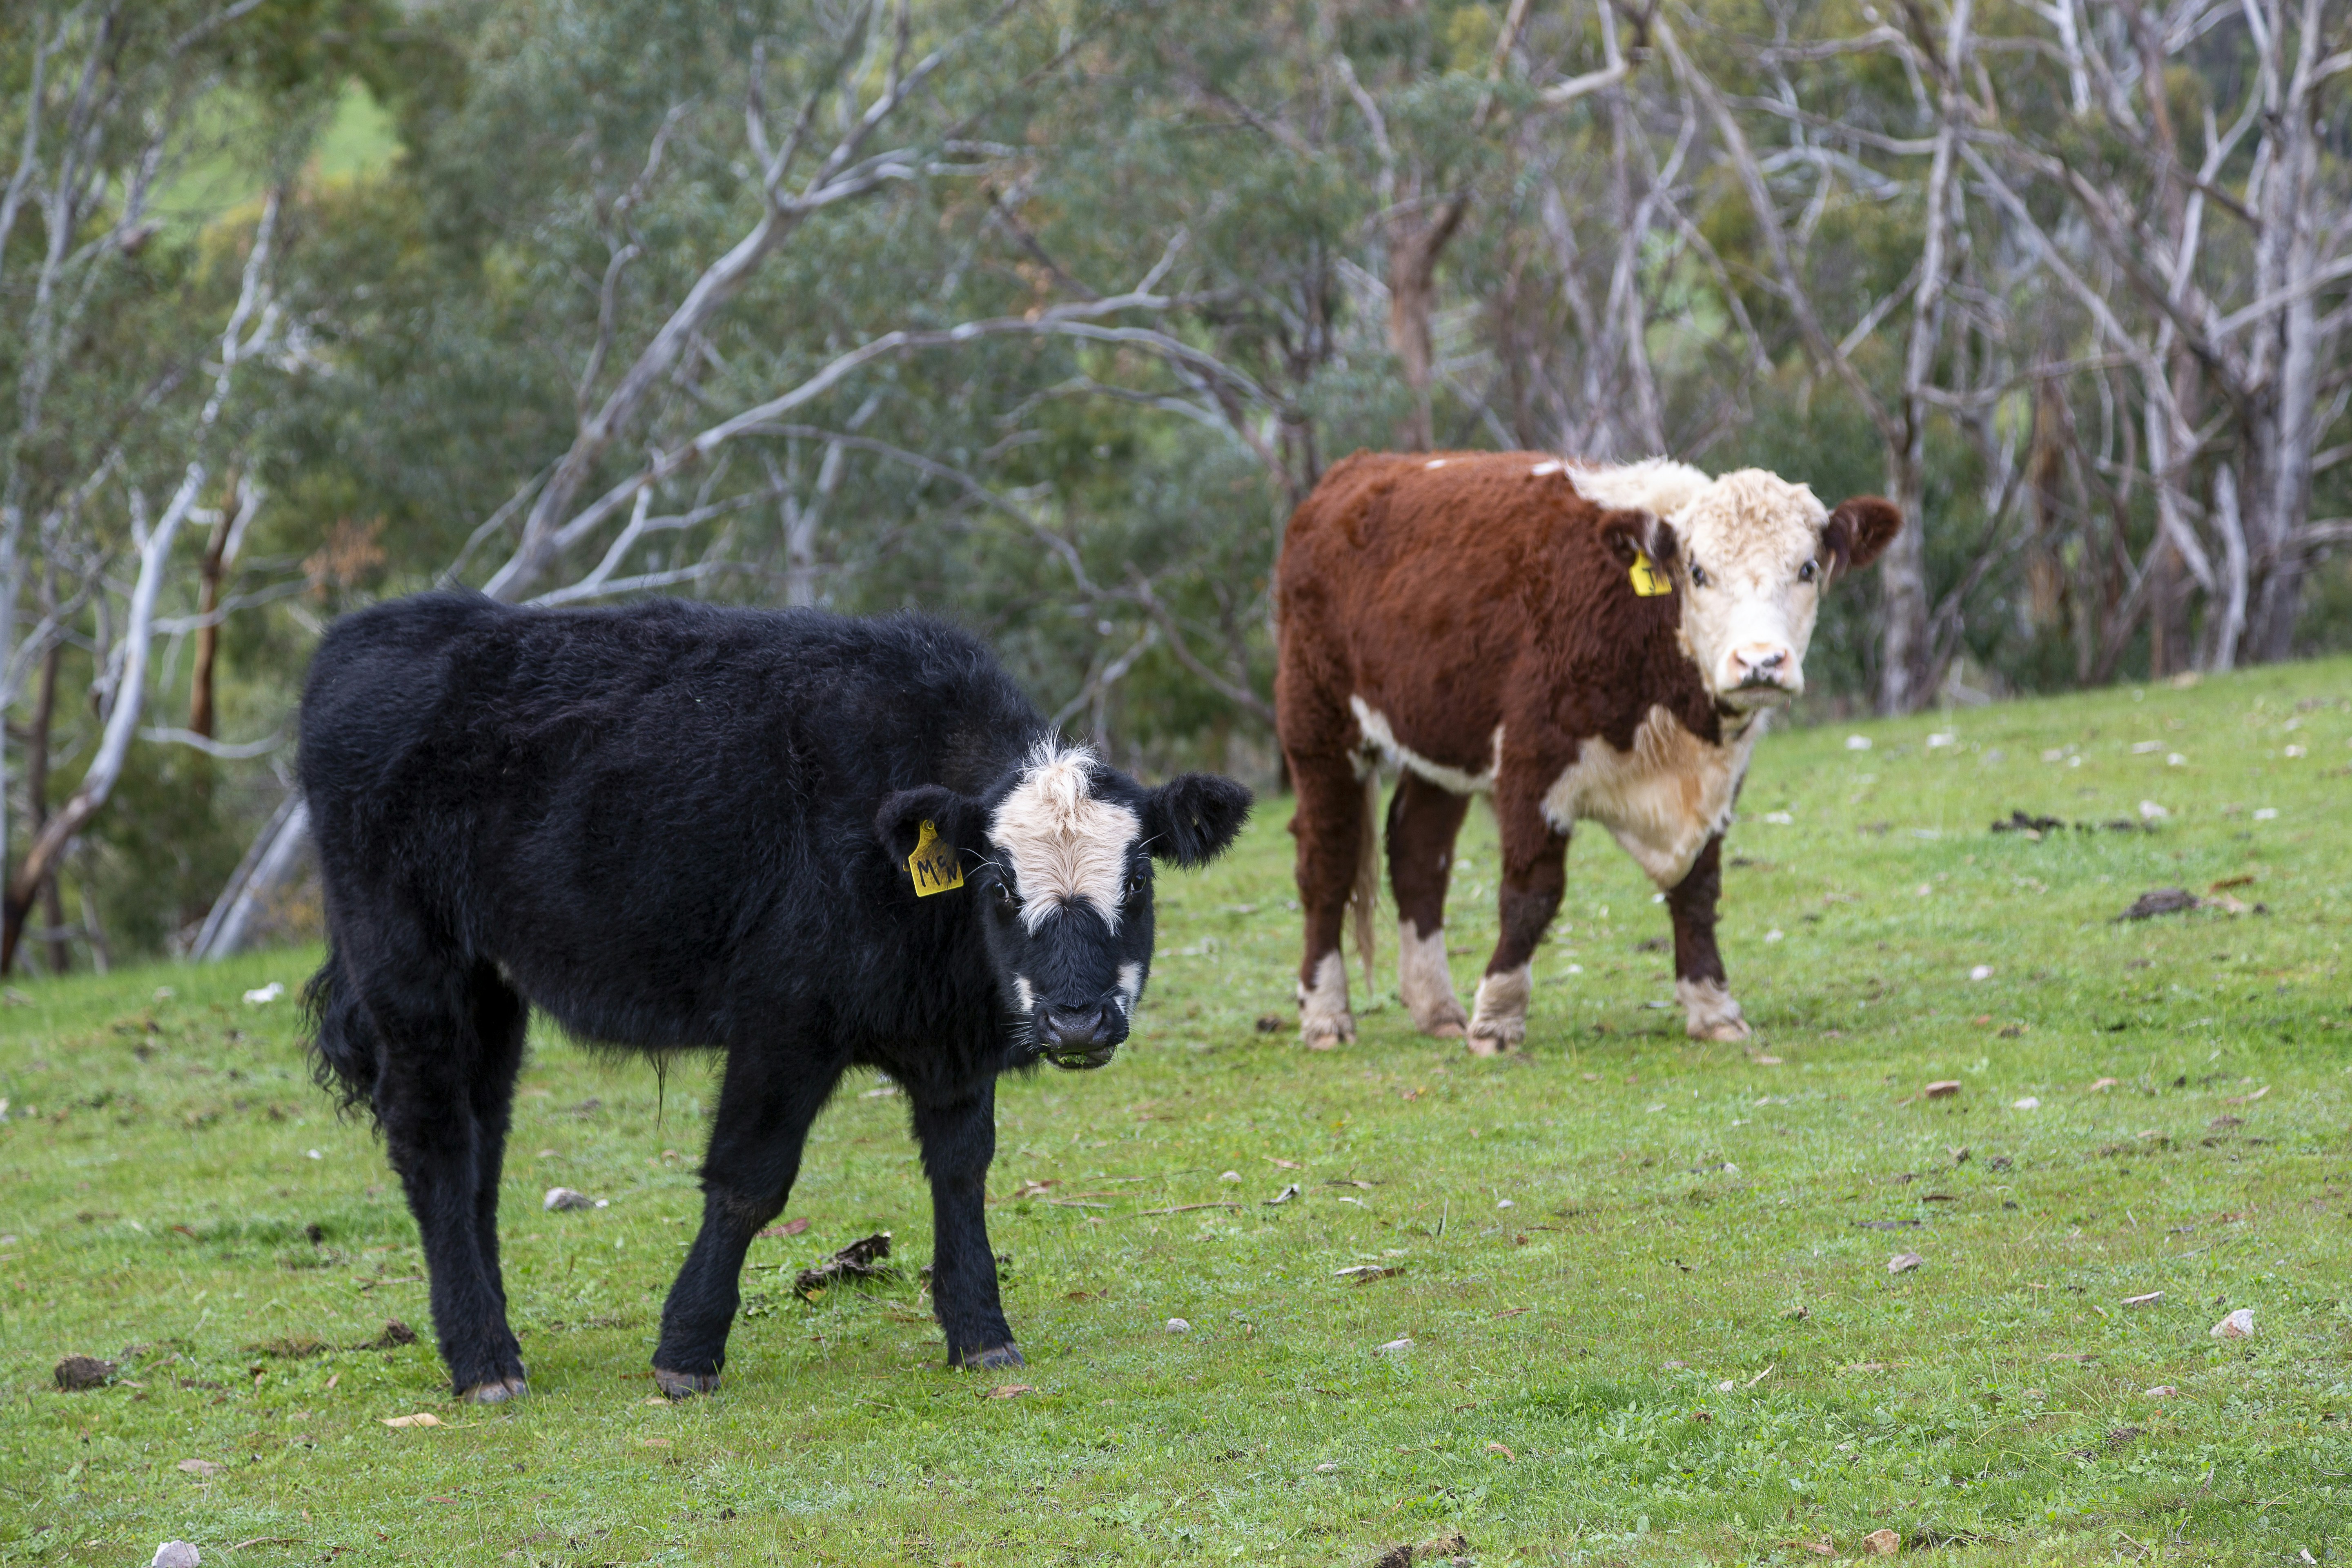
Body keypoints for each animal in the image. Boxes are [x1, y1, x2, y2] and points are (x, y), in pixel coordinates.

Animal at [299, 593, 1250, 1401]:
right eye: (1003, 888)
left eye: (1138, 882)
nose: (1077, 1019)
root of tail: (378, 628)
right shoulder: (782, 1026)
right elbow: (749, 1182)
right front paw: (687, 1351)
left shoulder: (949, 1046)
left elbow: (961, 1170)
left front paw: (982, 1331)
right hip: (409, 969)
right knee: (434, 1143)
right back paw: (484, 1360)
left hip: (490, 987)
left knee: (481, 1149)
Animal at [1274, 452, 1899, 1054]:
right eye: (1698, 572)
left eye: (1807, 569)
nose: (1761, 662)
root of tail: (1355, 471)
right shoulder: (1532, 767)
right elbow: (1532, 893)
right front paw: (1497, 1019)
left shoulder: (1719, 784)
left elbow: (1697, 892)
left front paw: (1714, 1009)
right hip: (1318, 727)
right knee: (1326, 864)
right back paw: (1326, 1015)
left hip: (1439, 741)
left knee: (1418, 857)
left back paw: (1437, 1011)